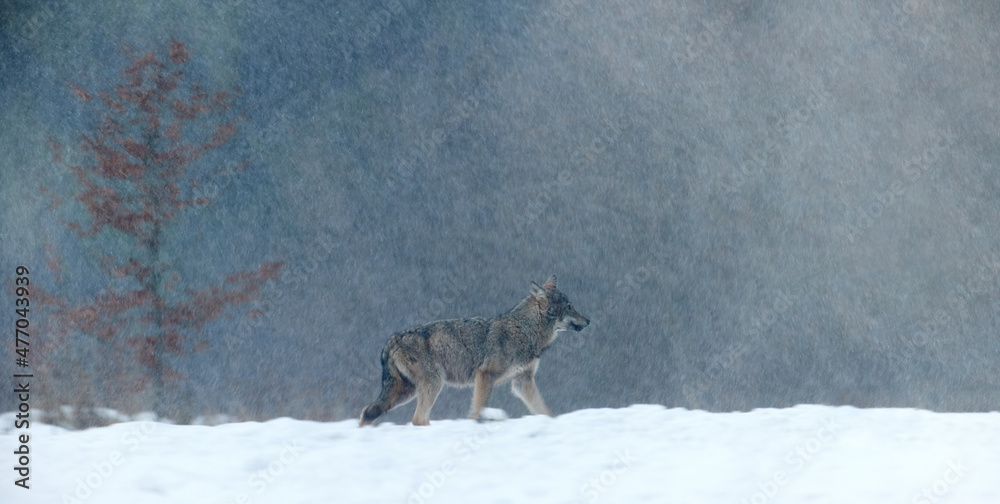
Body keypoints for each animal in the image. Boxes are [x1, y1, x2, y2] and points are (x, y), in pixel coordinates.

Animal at [359, 275, 589, 426]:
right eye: (570, 306)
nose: (588, 321)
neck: (526, 331)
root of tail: (394, 338)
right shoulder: (485, 375)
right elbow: (477, 410)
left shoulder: (522, 382)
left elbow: (546, 411)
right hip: (432, 384)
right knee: (417, 419)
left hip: (406, 392)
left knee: (367, 412)